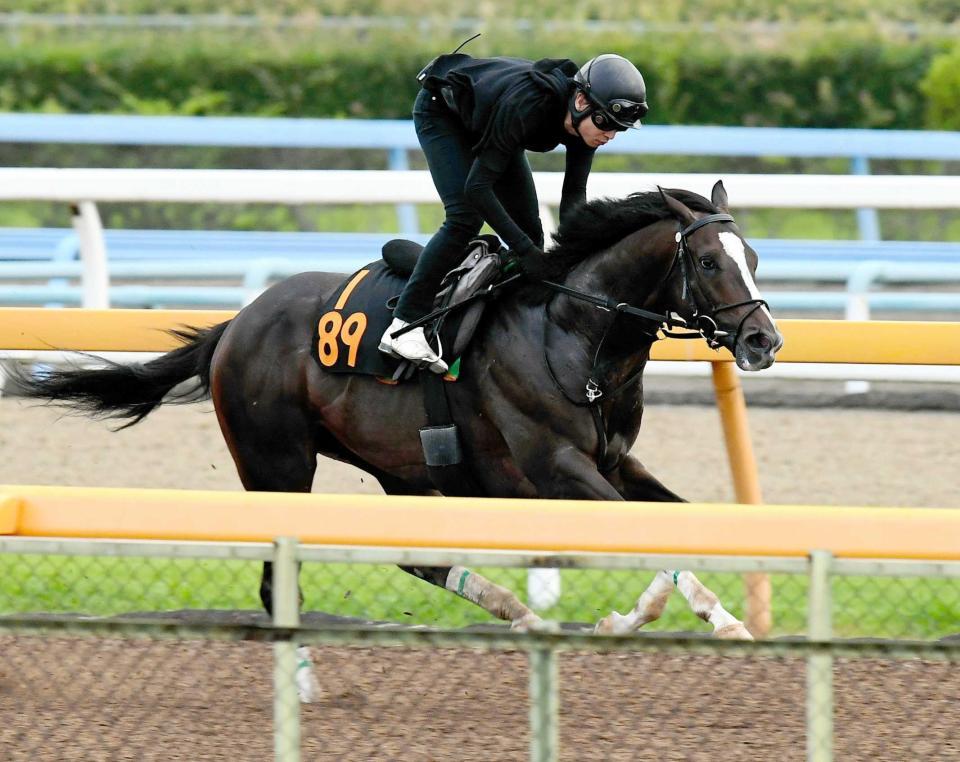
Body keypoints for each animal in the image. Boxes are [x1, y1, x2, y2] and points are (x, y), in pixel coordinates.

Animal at [19, 181, 782, 701]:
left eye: (751, 255)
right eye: (709, 262)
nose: (764, 340)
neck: (574, 335)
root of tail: (235, 324)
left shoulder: (615, 463)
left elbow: (678, 525)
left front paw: (697, 620)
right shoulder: (556, 469)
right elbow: (646, 538)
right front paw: (658, 619)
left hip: (400, 469)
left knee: (416, 559)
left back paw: (521, 617)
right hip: (277, 464)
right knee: (276, 580)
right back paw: (305, 687)